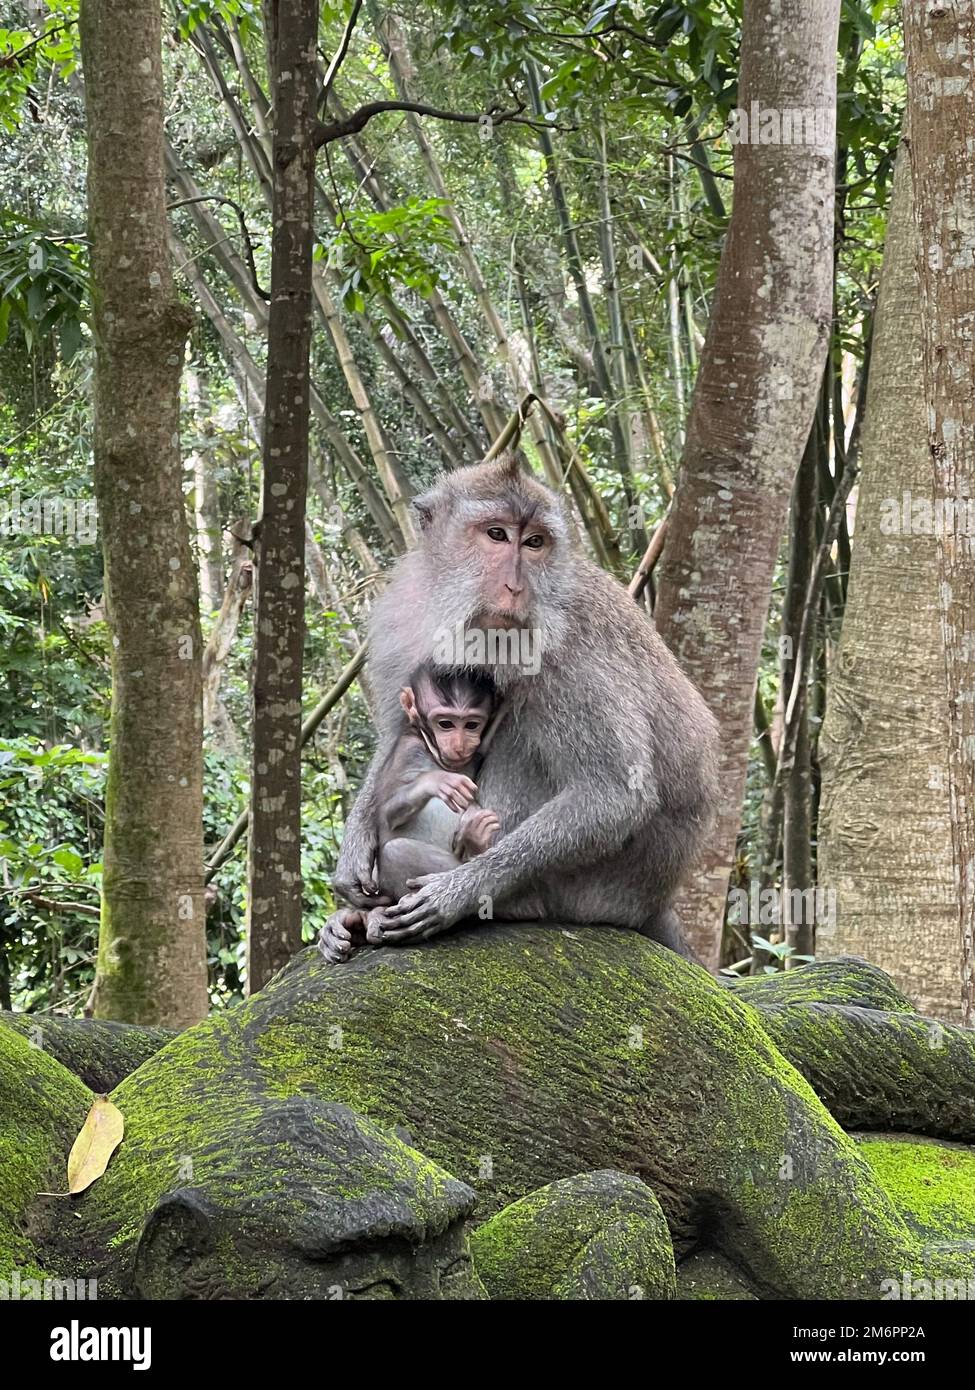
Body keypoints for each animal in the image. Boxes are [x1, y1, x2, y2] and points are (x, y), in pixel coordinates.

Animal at [317, 450, 719, 966]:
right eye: (496, 534)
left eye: (534, 543)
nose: (515, 586)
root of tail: (657, 901)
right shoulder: (401, 617)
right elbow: (397, 736)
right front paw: (354, 852)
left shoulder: (569, 657)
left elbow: (614, 793)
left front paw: (460, 890)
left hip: (594, 892)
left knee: (522, 735)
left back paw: (499, 897)